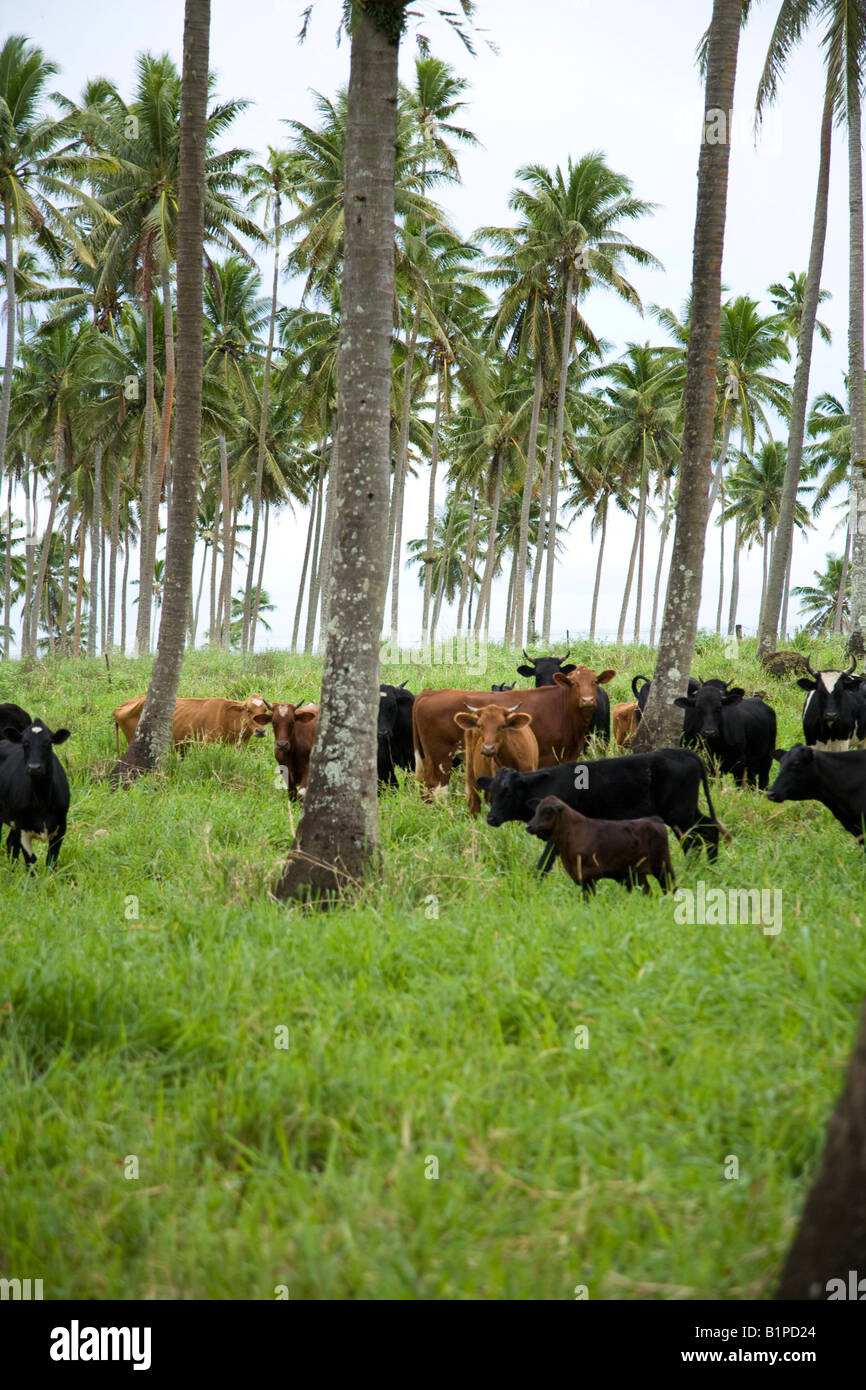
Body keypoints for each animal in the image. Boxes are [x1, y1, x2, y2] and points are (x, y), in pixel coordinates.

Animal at [0, 719, 71, 869]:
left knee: (11, 843)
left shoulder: (61, 826)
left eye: (48, 742)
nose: (34, 767)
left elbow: (51, 860)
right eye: (24, 743)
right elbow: (31, 861)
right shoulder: (22, 829)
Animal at [412, 664, 616, 797]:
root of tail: (429, 692)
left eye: (595, 681)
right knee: (437, 788)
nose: (587, 700)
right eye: (573, 682)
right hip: (441, 756)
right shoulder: (548, 755)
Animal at [476, 747, 726, 872]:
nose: (491, 818)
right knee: (709, 831)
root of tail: (683, 752)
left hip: (679, 814)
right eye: (492, 792)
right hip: (686, 812)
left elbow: (543, 864)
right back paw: (709, 868)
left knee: (693, 840)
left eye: (508, 793)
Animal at [526, 796, 674, 894]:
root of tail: (654, 819)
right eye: (536, 810)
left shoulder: (589, 877)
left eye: (547, 811)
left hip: (662, 866)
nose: (529, 826)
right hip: (637, 874)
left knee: (669, 886)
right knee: (647, 891)